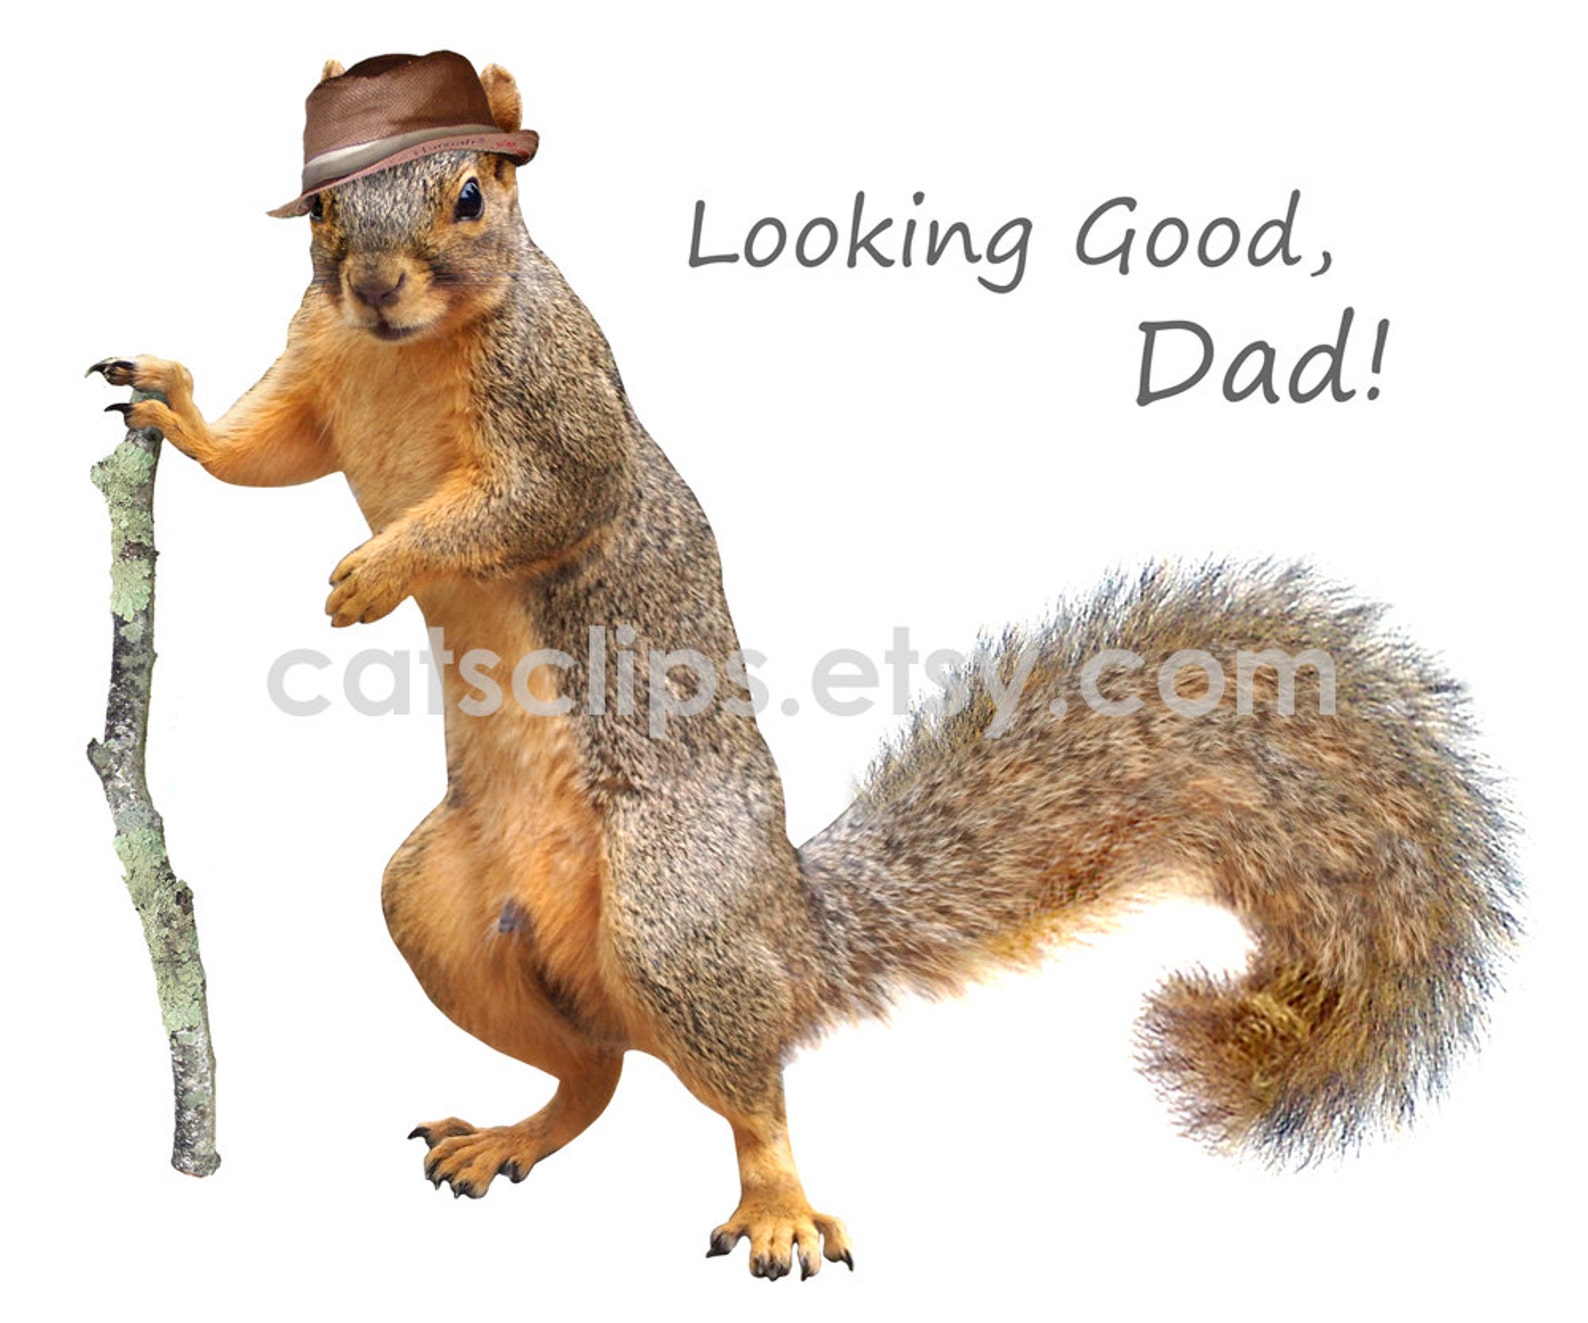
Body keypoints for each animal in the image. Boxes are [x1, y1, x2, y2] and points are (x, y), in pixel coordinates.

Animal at [90, 53, 1519, 1280]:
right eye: (325, 213)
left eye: (472, 196)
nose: (378, 285)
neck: (403, 352)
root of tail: (787, 929)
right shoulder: (318, 373)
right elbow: (261, 450)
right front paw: (170, 406)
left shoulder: (559, 413)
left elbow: (532, 504)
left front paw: (377, 570)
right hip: (439, 906)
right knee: (597, 1070)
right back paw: (513, 1135)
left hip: (673, 911)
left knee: (745, 1090)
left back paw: (775, 1205)